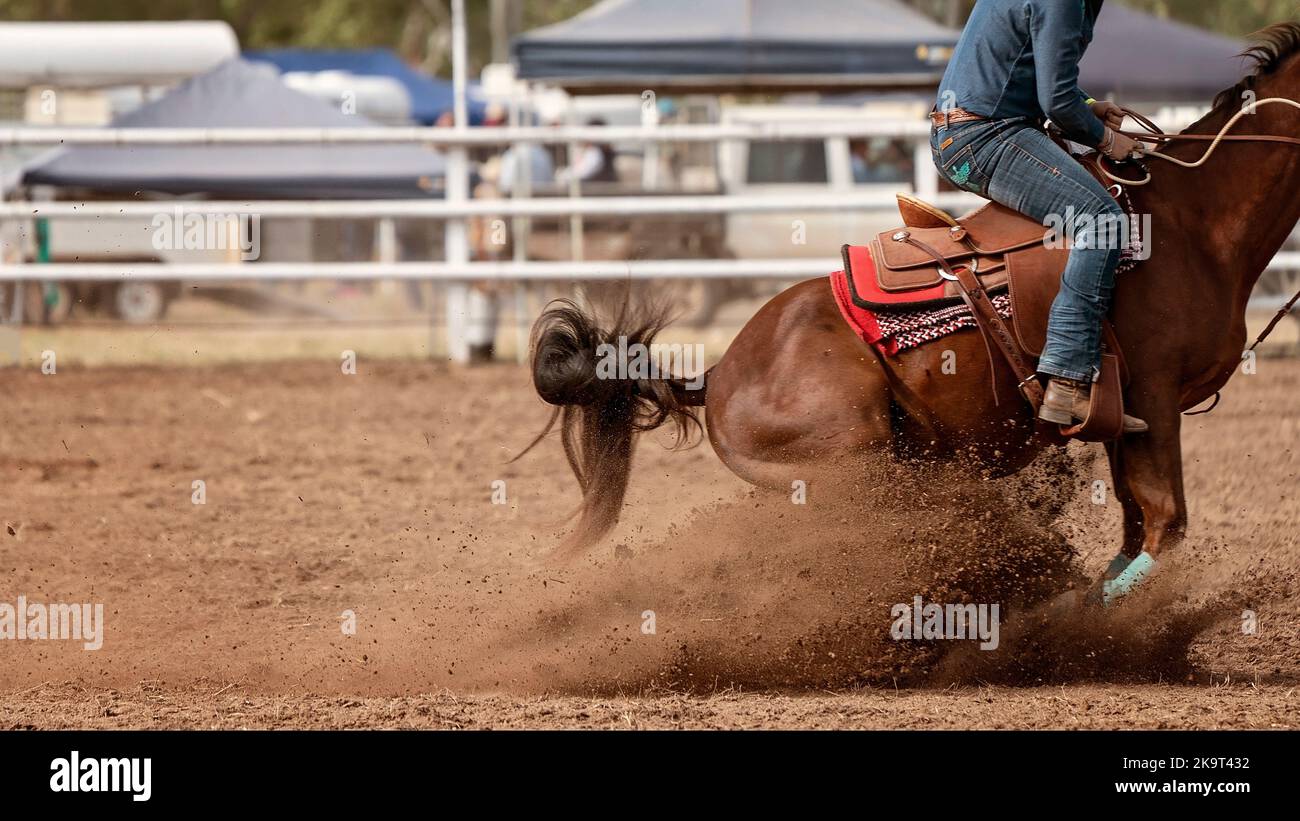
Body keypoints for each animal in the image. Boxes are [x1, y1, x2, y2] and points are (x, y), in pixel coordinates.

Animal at [524, 24, 1300, 587]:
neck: (1193, 221)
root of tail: (716, 376)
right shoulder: (1155, 398)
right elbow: (1165, 524)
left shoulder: (1126, 416)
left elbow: (1139, 525)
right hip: (856, 461)